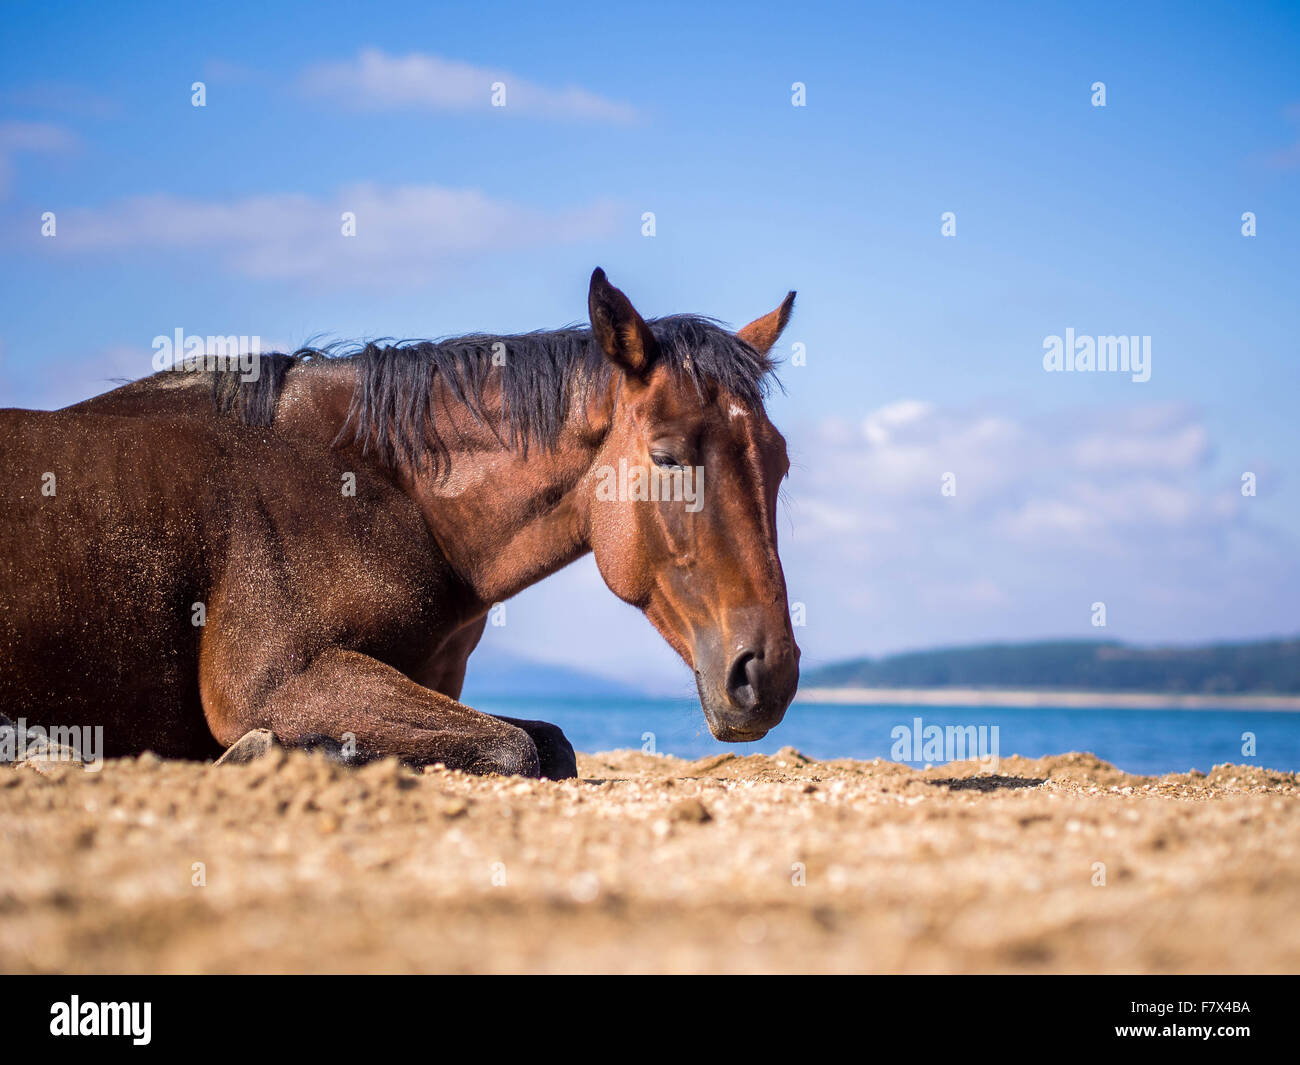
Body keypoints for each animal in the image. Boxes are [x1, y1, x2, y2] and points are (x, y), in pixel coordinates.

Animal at [0, 269, 800, 778]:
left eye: (782, 462)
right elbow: (521, 749)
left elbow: (550, 743)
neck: (375, 489)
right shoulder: (278, 682)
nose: (770, 674)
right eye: (667, 456)